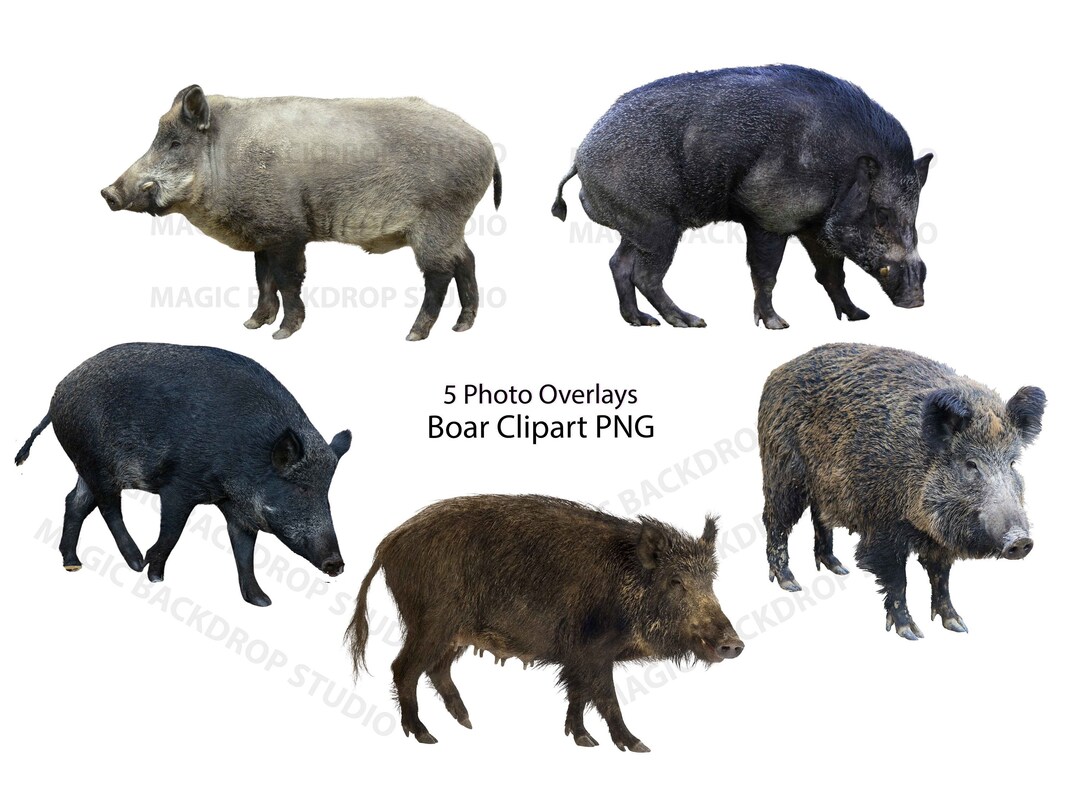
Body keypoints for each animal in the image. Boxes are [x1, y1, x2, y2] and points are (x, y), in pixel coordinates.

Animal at [14, 342, 351, 606]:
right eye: (300, 487)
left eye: (327, 491)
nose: (337, 564)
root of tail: (57, 394)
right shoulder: (179, 486)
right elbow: (173, 532)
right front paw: (155, 576)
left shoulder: (236, 507)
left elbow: (244, 550)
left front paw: (262, 601)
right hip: (97, 464)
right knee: (107, 507)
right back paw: (135, 562)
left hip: (85, 465)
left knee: (75, 501)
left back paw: (73, 565)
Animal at [102, 86, 501, 341]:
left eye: (174, 143)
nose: (107, 192)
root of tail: (487, 145)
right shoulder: (263, 236)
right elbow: (263, 279)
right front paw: (251, 325)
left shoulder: (288, 232)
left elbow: (288, 279)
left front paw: (281, 334)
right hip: (453, 226)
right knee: (467, 259)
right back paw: (462, 328)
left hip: (436, 222)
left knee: (440, 273)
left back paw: (413, 335)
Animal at [346, 494, 743, 751]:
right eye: (676, 582)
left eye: (710, 581)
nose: (735, 644)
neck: (626, 588)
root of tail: (388, 543)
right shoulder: (593, 651)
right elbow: (605, 697)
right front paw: (637, 745)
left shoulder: (579, 656)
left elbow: (578, 694)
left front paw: (583, 740)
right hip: (430, 622)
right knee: (404, 668)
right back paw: (425, 736)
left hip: (452, 633)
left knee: (437, 669)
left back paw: (468, 722)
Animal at [552, 65, 932, 329]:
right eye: (881, 214)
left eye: (914, 214)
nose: (916, 301)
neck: (839, 172)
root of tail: (580, 157)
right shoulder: (766, 214)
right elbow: (766, 272)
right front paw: (778, 325)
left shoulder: (814, 228)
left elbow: (831, 274)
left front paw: (859, 317)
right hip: (657, 225)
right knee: (645, 275)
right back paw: (692, 322)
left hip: (637, 228)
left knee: (619, 263)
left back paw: (642, 322)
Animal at [758, 343, 1046, 639]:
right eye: (970, 464)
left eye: (1012, 463)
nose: (1020, 540)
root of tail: (777, 372)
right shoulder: (882, 527)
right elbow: (898, 580)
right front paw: (911, 632)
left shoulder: (938, 541)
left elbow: (941, 578)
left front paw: (958, 625)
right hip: (782, 474)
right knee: (775, 522)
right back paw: (791, 584)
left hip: (823, 487)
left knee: (820, 517)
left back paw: (839, 568)